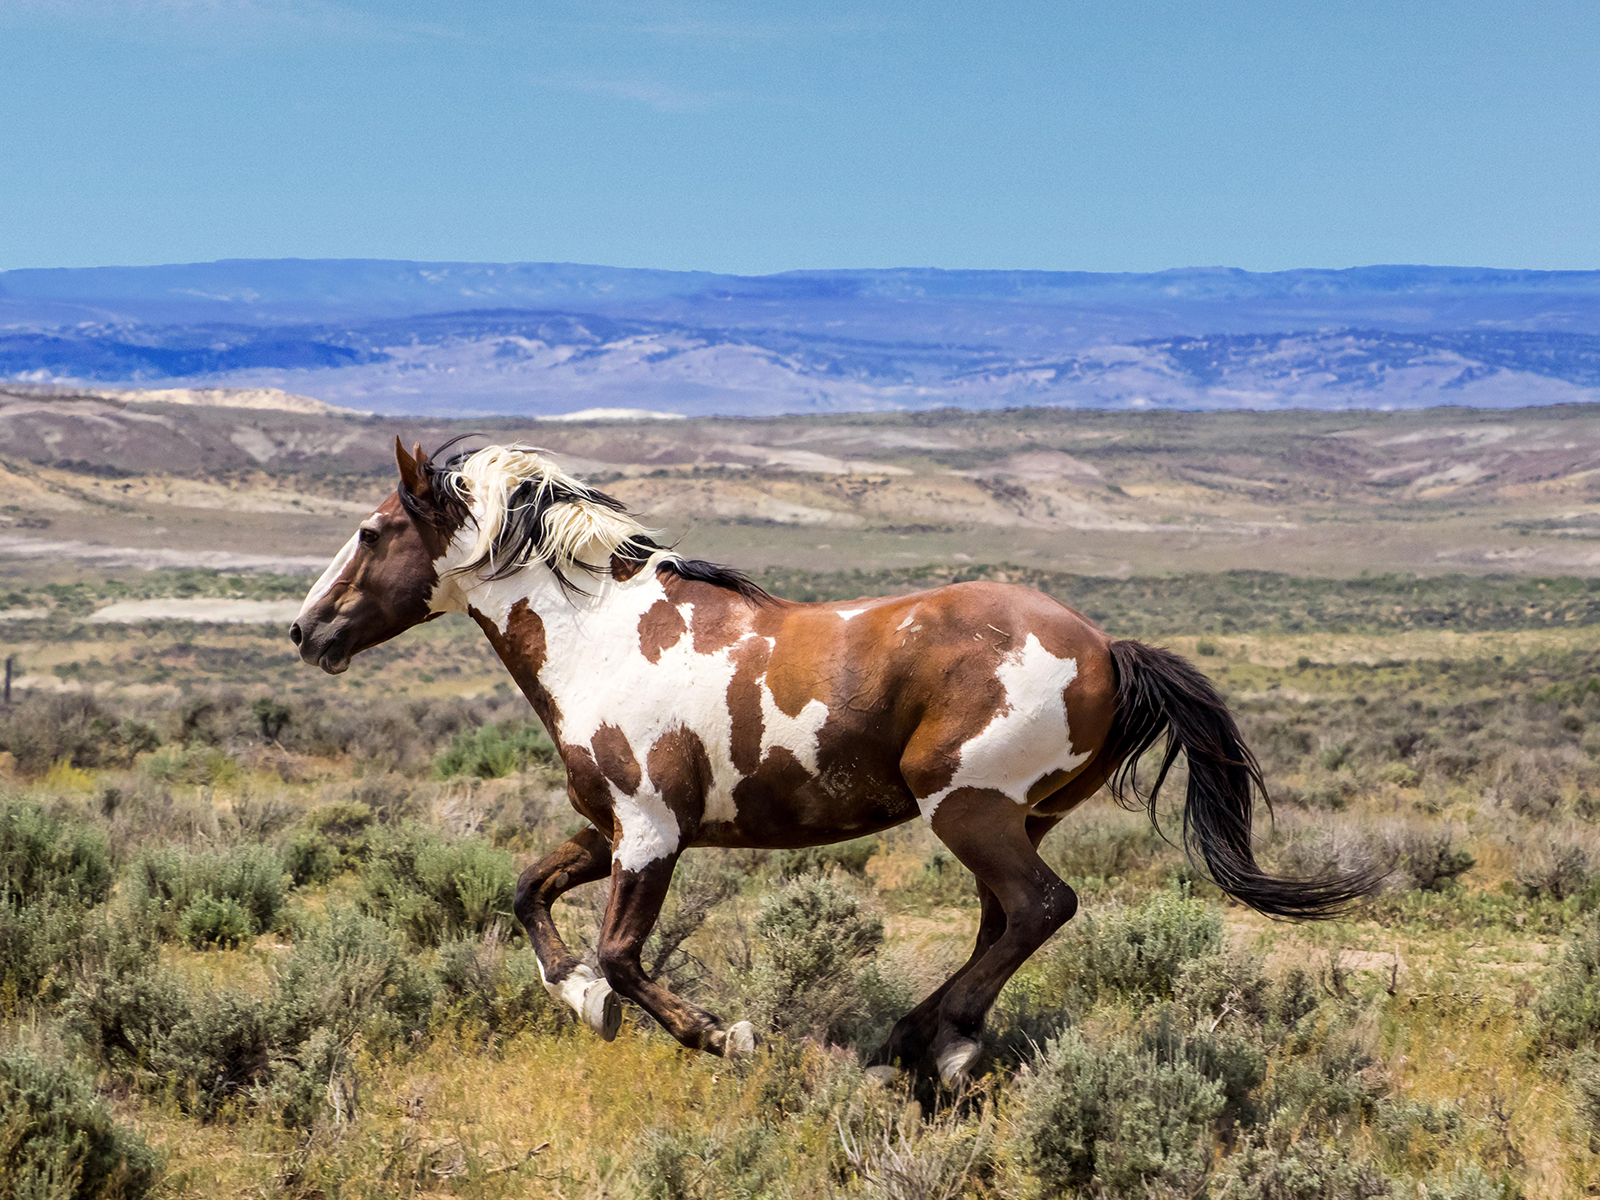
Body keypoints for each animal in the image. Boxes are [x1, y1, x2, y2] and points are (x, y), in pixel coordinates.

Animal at [290, 438, 1373, 1083]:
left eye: (371, 532)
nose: (306, 631)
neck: (601, 640)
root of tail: (1107, 647)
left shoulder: (650, 835)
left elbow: (625, 954)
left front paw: (720, 1033)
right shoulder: (610, 828)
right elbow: (527, 894)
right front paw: (582, 1003)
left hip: (967, 808)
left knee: (1038, 907)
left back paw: (931, 1044)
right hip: (1017, 816)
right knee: (1005, 918)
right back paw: (925, 1042)